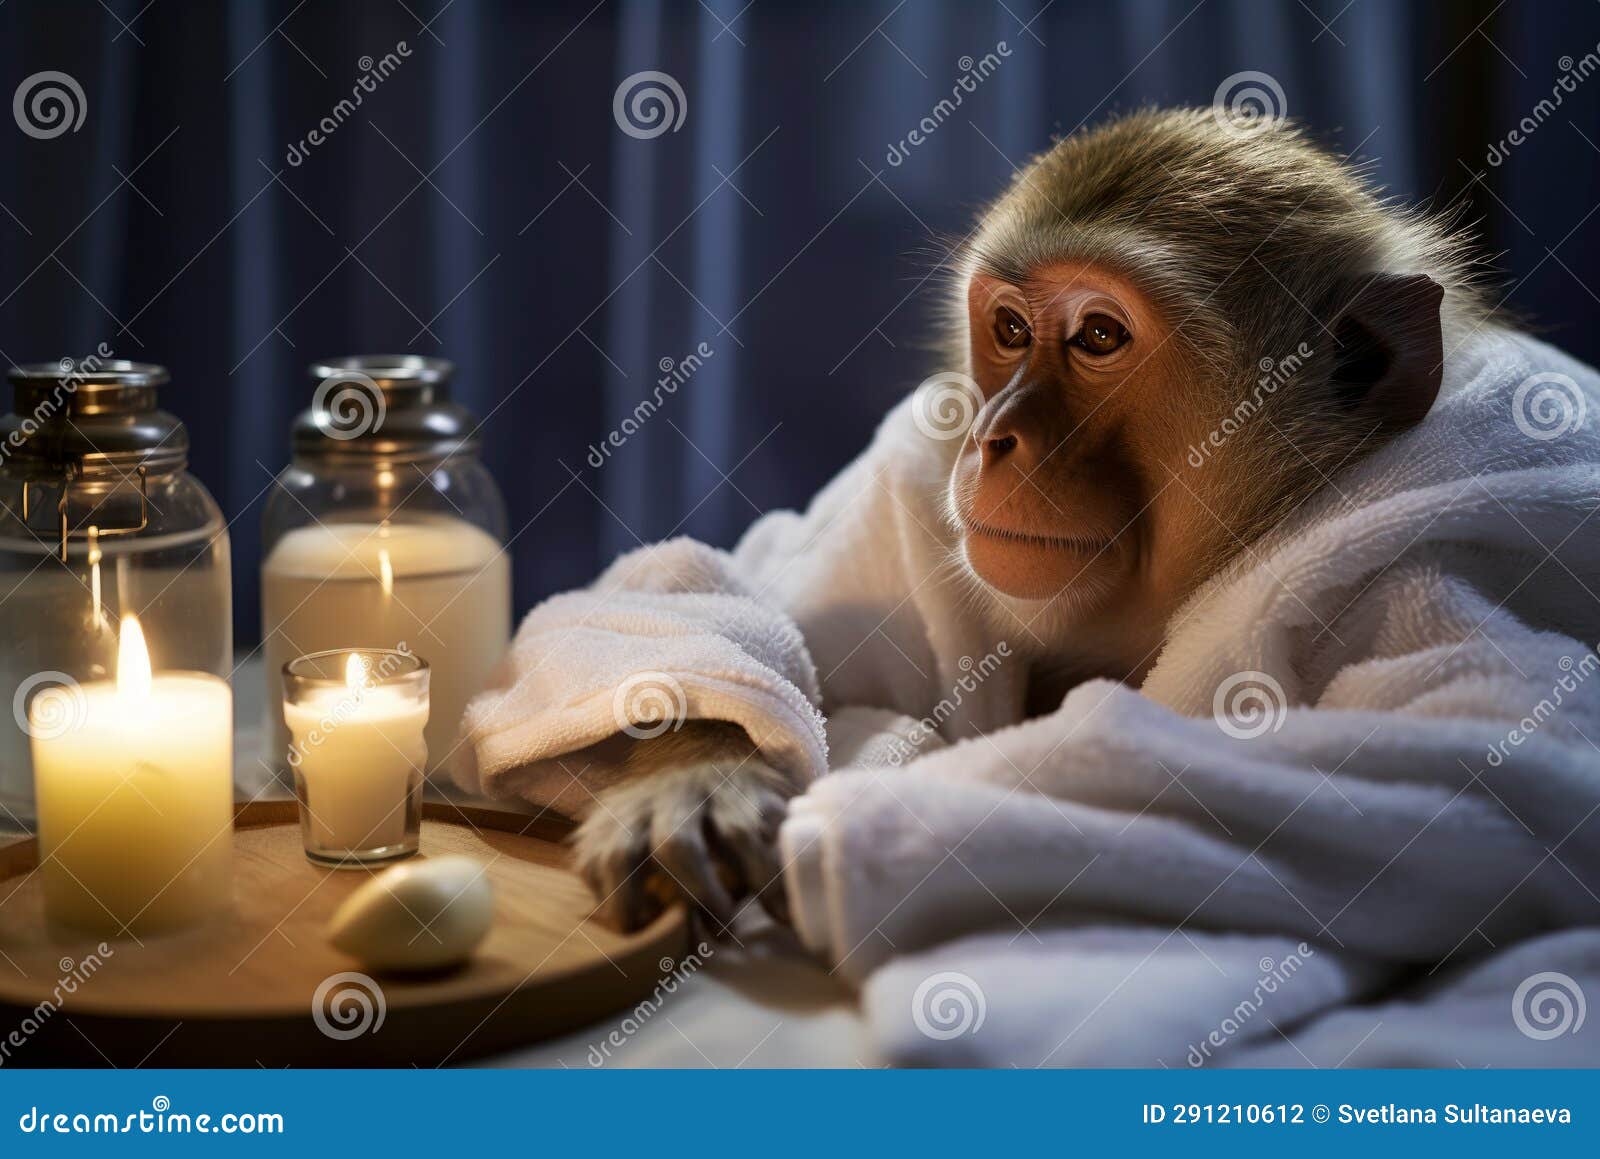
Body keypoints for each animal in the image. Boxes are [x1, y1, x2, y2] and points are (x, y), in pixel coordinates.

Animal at [564, 107, 1498, 933]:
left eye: (1098, 336)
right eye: (1010, 327)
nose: (990, 434)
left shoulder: (1413, 566)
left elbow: (1397, 784)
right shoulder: (901, 488)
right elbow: (708, 586)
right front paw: (698, 778)